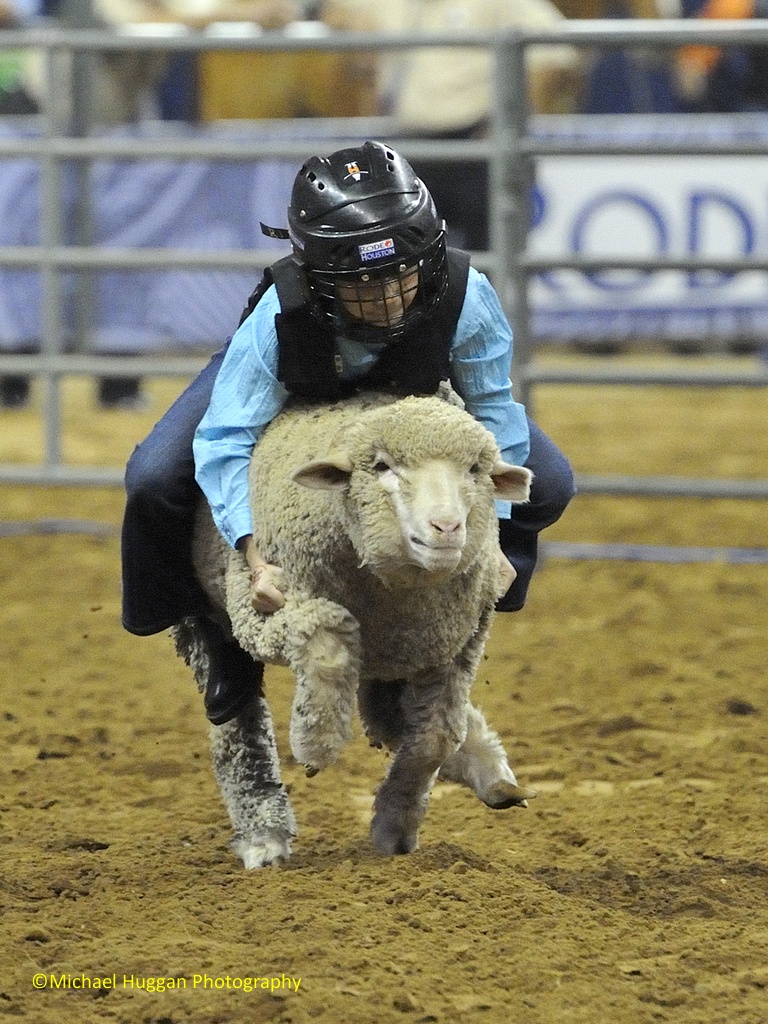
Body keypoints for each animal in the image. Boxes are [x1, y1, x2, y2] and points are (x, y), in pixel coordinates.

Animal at [174, 388, 536, 868]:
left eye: (476, 470)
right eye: (381, 466)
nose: (446, 528)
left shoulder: (456, 641)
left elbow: (435, 738)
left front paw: (394, 827)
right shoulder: (269, 605)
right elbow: (328, 645)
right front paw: (316, 742)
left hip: (398, 656)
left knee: (396, 718)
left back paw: (491, 775)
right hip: (212, 616)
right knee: (238, 726)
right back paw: (263, 836)